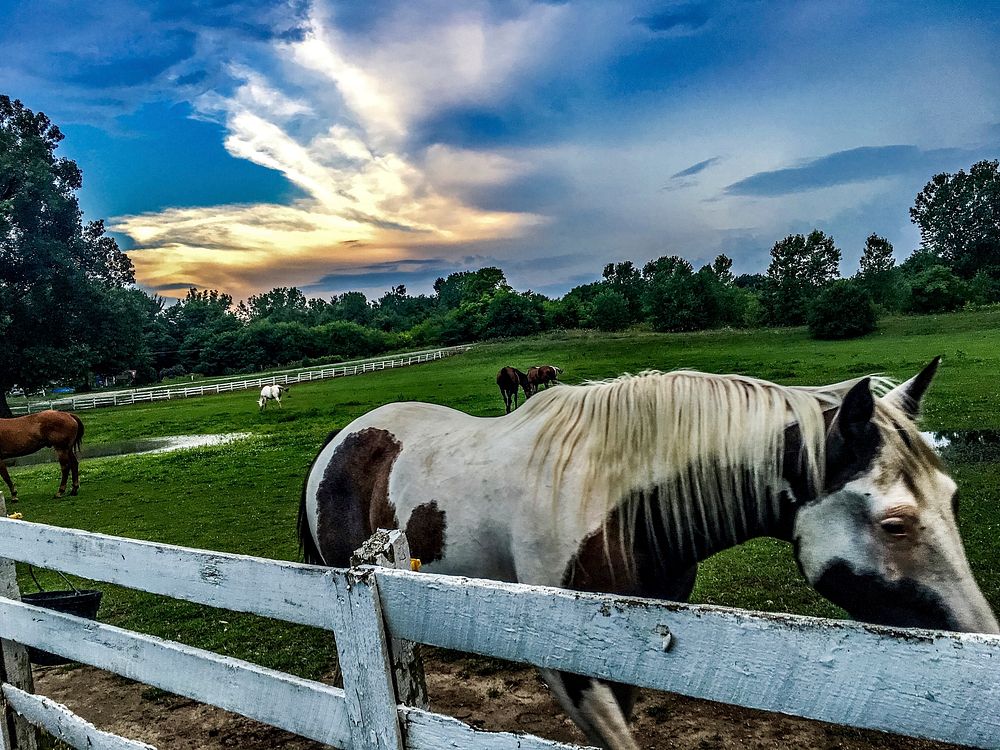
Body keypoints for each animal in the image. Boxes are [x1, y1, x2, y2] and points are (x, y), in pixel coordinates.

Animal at [298, 359, 997, 750]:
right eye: (895, 523)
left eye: (954, 499)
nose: (981, 639)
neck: (619, 503)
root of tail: (341, 440)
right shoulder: (568, 662)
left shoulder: (625, 646)